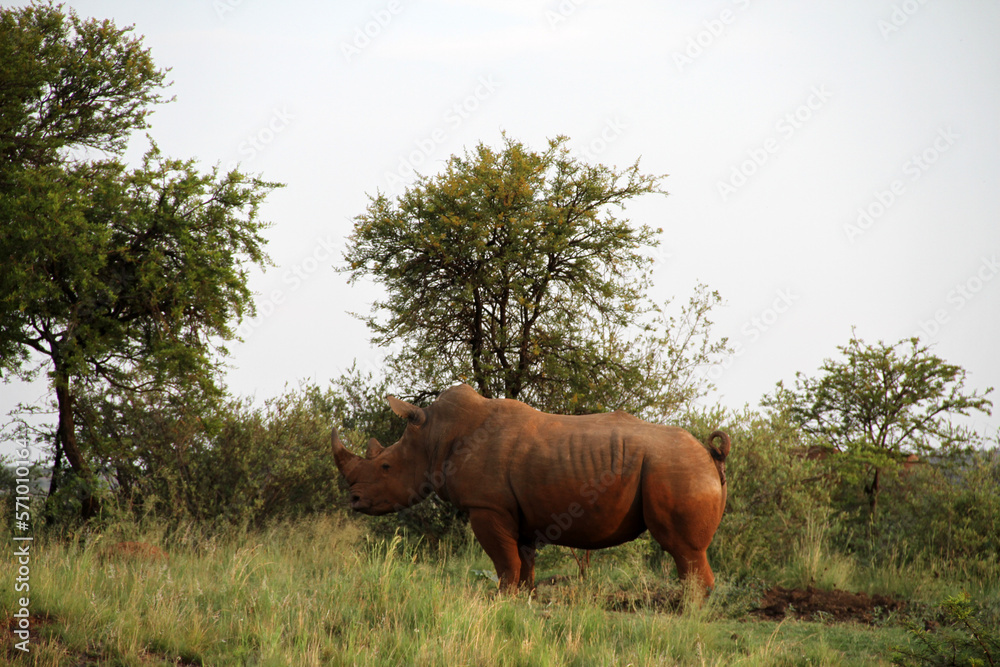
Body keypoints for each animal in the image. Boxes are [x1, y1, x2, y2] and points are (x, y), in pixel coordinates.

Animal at [332, 384, 731, 593]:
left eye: (385, 466)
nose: (354, 500)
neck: (435, 434)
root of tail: (711, 456)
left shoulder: (486, 505)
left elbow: (503, 559)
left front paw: (500, 598)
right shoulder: (516, 508)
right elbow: (523, 559)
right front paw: (523, 596)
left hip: (677, 469)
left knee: (683, 549)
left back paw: (685, 612)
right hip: (681, 469)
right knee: (686, 551)